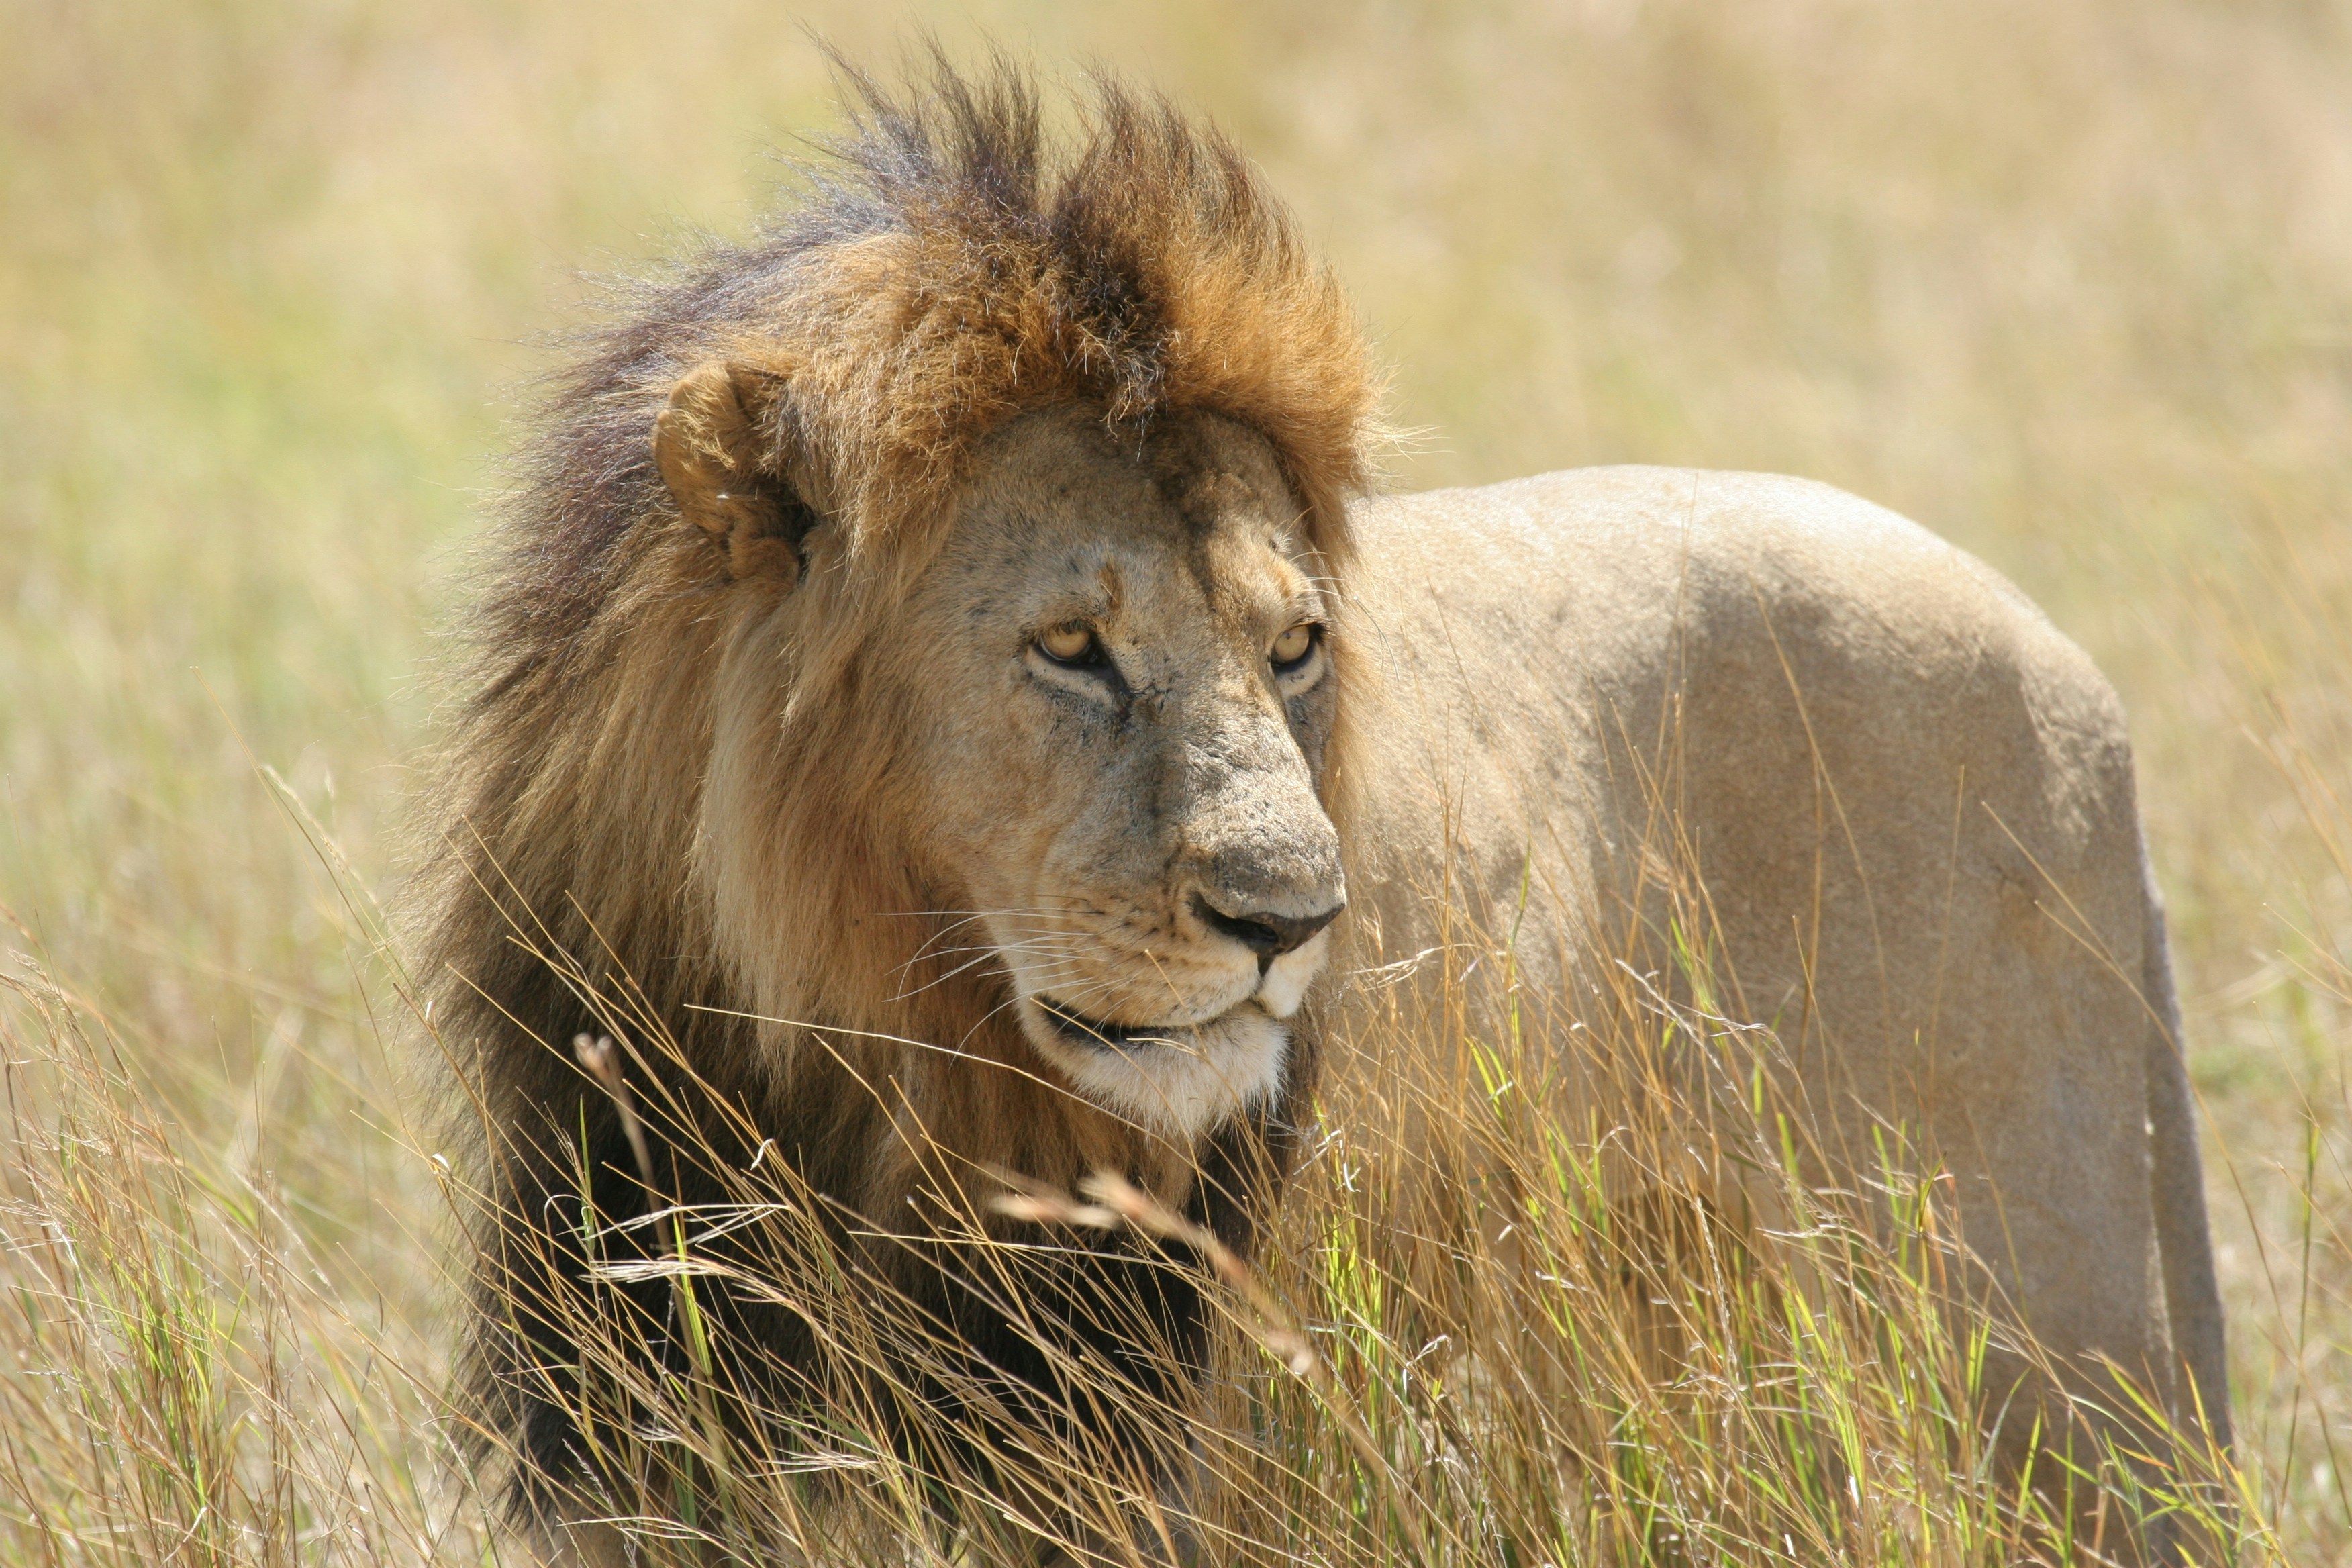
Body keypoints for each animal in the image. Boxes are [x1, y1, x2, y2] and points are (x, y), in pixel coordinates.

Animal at [421, 55, 2227, 1563]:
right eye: (1072, 648)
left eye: (1293, 646)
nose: (1294, 921)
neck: (858, 1063)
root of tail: (2076, 674)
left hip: (2044, 1358)